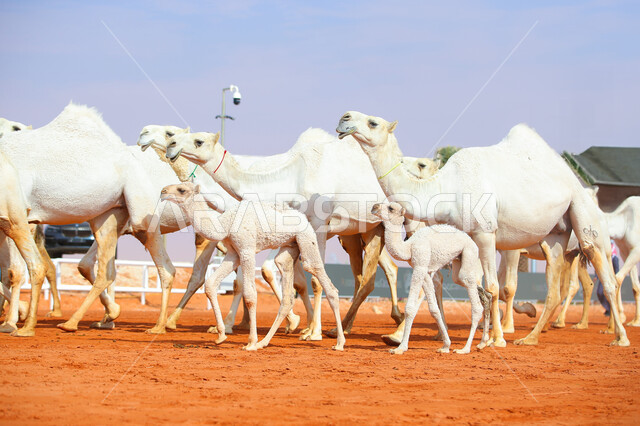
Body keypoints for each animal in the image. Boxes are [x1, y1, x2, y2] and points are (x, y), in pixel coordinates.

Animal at [160, 182, 345, 350]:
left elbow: (250, 295)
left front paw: (250, 343)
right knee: (286, 289)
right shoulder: (233, 253)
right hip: (290, 246)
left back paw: (338, 342)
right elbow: (211, 284)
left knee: (324, 280)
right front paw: (221, 336)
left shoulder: (246, 249)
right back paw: (264, 342)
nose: (162, 192)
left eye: (181, 189)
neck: (226, 223)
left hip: (306, 239)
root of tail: (304, 219)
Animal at [372, 201, 490, 354]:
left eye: (391, 208)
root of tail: (472, 241)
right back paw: (482, 342)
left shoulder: (420, 266)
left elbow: (410, 308)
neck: (408, 247)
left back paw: (465, 348)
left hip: (469, 253)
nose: (374, 207)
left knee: (476, 306)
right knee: (471, 287)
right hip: (458, 263)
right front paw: (445, 345)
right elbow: (434, 309)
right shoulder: (426, 272)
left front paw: (400, 348)